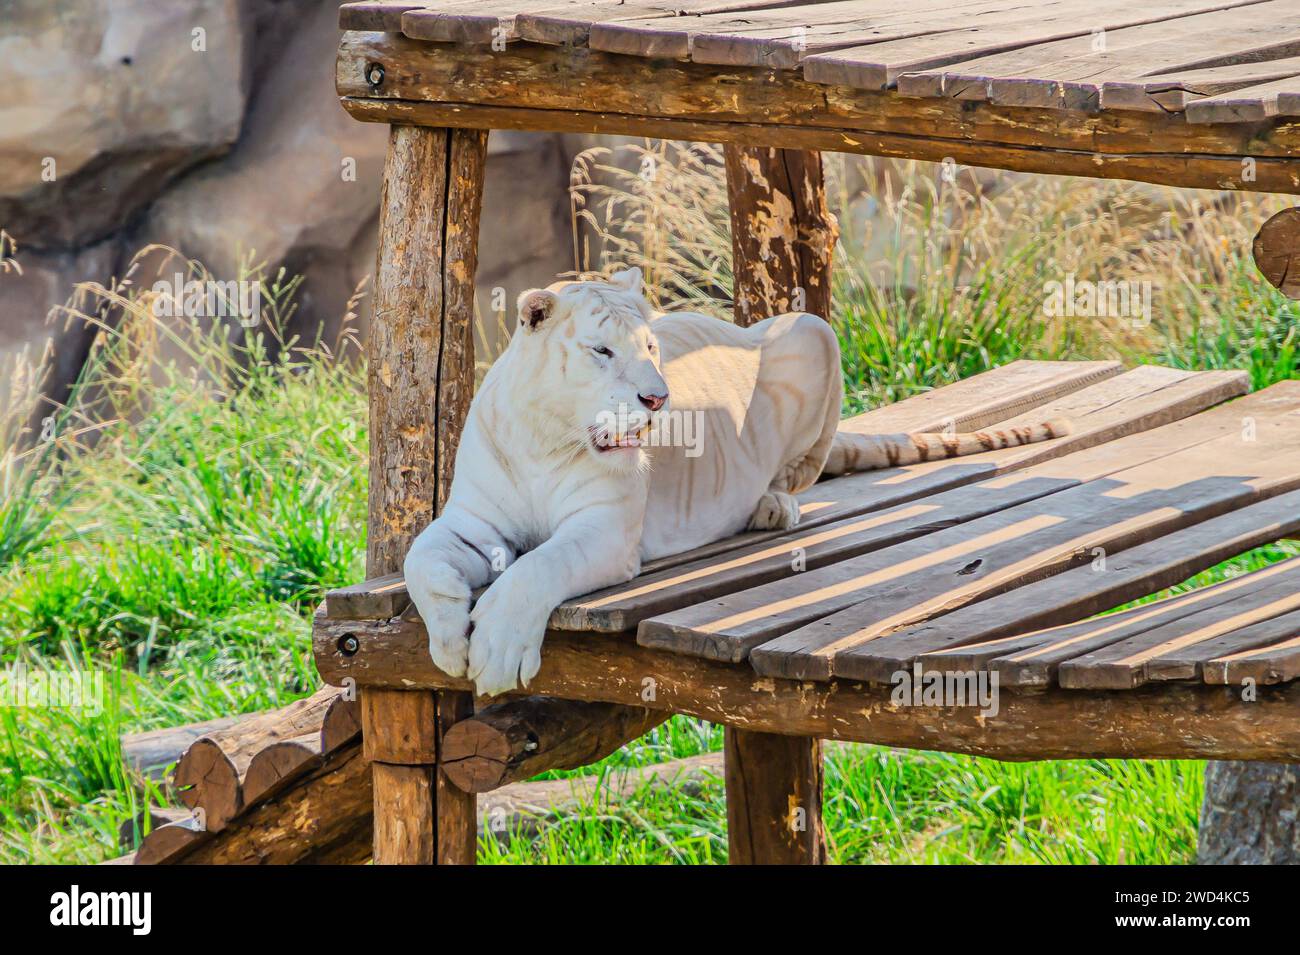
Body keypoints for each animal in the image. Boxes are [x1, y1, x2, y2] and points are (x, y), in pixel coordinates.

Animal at [403, 268, 1069, 696]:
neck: (548, 435)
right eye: (601, 351)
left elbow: (536, 568)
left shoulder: (606, 530)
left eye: (651, 348)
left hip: (812, 330)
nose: (658, 398)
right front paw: (448, 642)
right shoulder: (474, 522)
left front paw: (495, 651)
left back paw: (770, 508)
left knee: (799, 477)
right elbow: (421, 560)